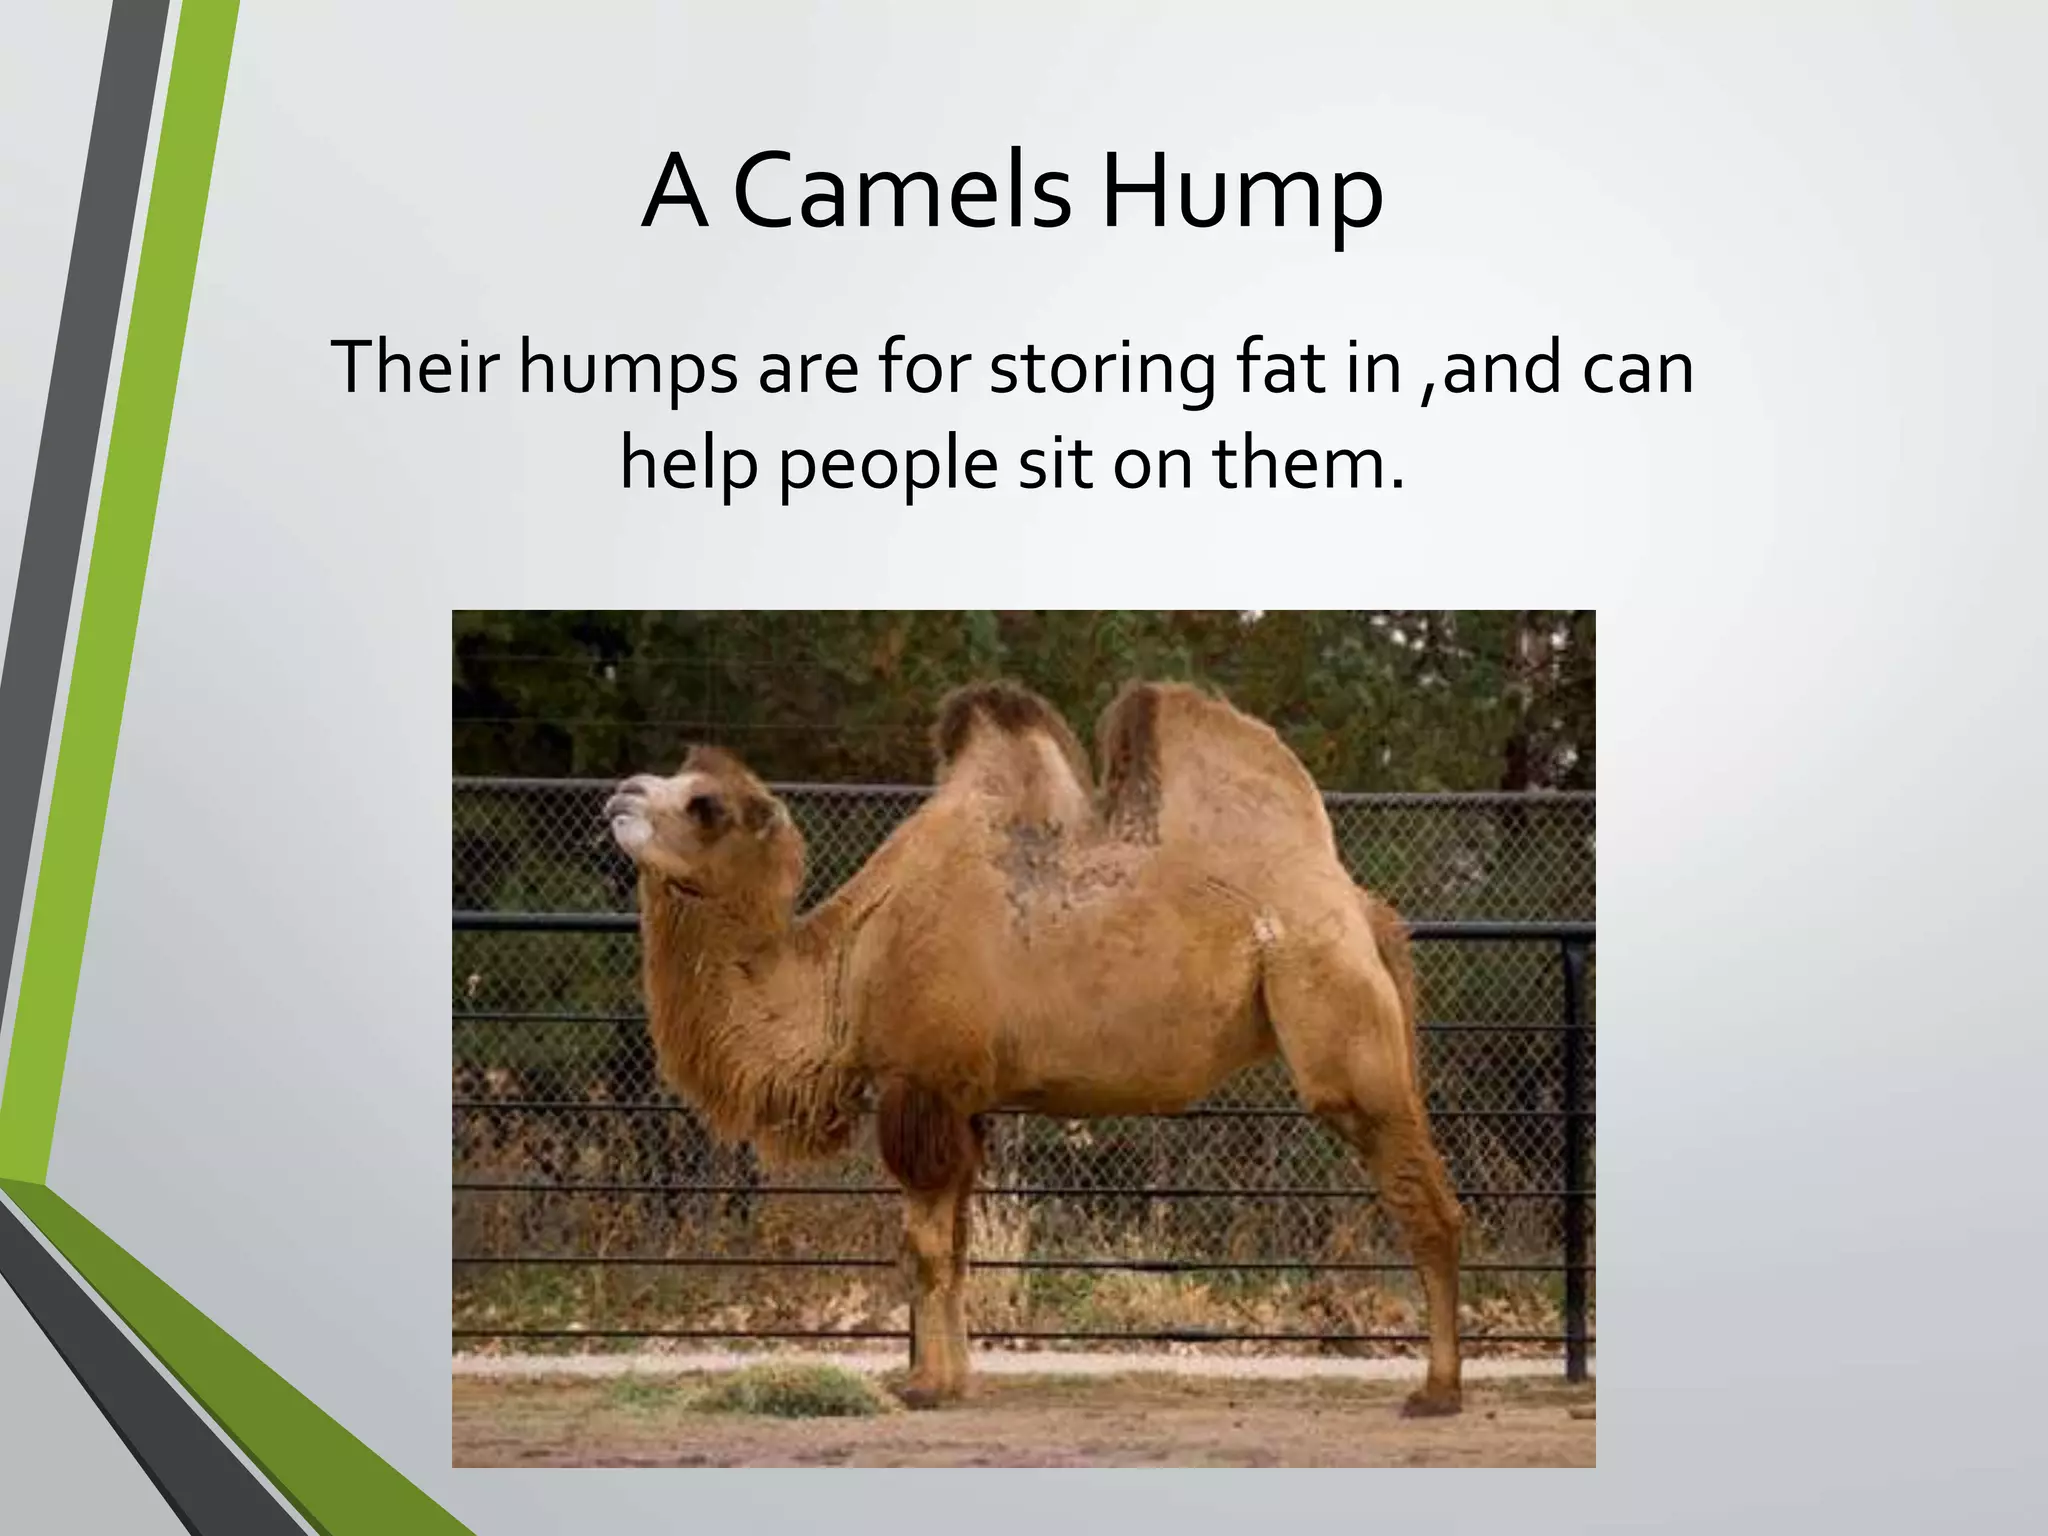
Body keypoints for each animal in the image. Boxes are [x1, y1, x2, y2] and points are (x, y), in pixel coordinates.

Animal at [604, 680, 1466, 1415]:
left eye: (706, 805)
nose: (620, 794)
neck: (846, 961)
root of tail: (1362, 908)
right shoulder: (965, 1102)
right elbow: (953, 1248)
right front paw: (951, 1379)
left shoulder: (920, 1083)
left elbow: (921, 1248)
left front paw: (925, 1389)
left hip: (1332, 1002)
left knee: (1420, 1196)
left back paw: (1437, 1392)